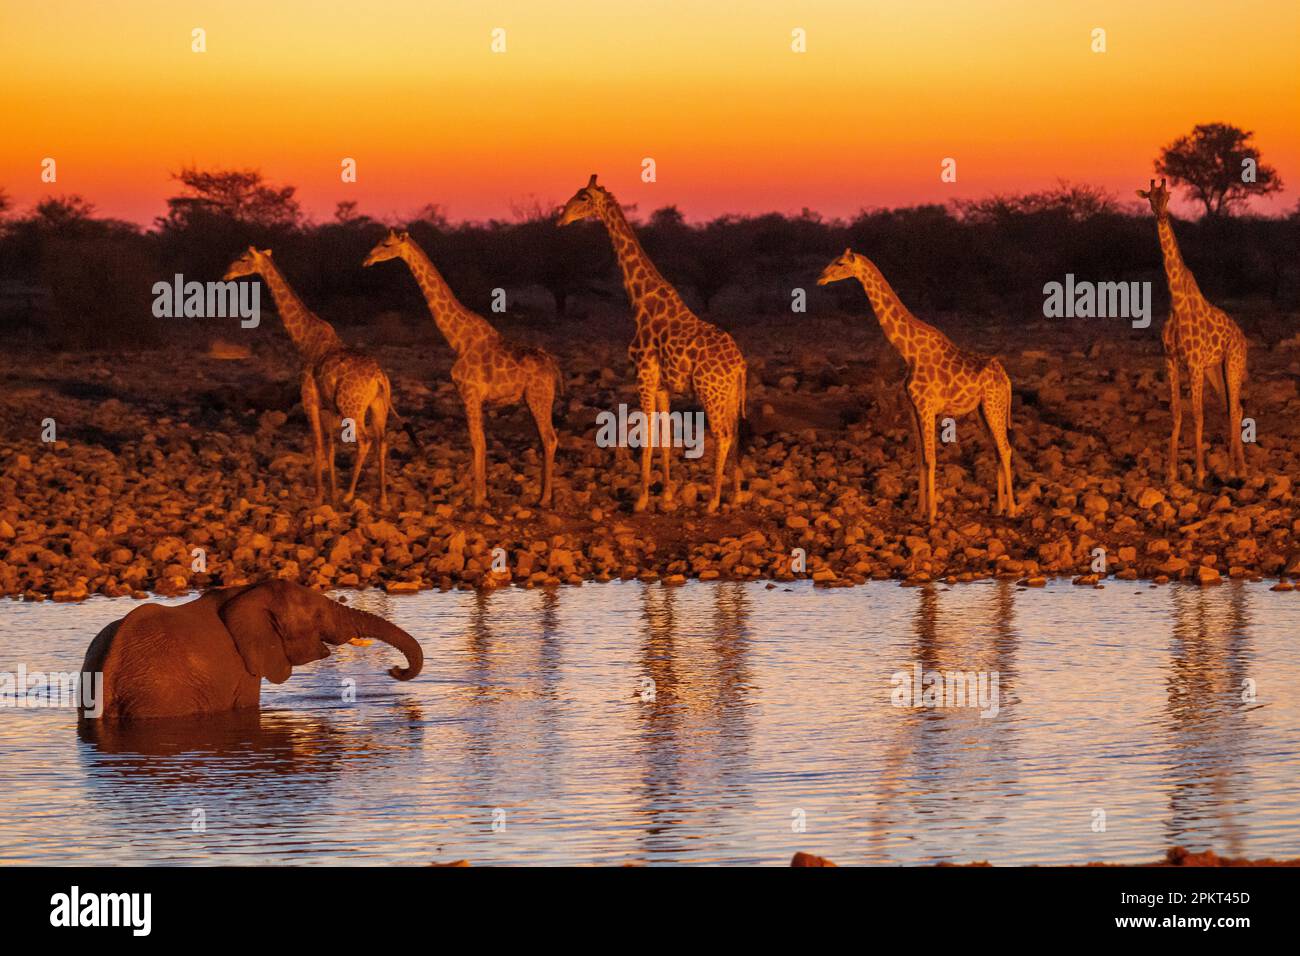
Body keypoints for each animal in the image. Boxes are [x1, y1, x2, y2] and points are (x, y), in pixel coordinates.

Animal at [223, 247, 412, 510]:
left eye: (243, 259)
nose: (226, 274)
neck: (303, 340)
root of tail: (379, 378)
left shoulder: (309, 400)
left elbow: (317, 445)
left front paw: (319, 496)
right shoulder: (328, 407)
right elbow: (331, 447)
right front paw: (330, 493)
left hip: (351, 407)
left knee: (365, 441)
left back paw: (349, 495)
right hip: (378, 406)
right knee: (382, 441)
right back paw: (382, 499)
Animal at [363, 229, 563, 508]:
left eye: (386, 244)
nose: (366, 260)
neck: (458, 339)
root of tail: (553, 366)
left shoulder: (469, 392)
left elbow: (476, 442)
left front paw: (477, 498)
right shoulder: (475, 397)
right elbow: (480, 441)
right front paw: (482, 494)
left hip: (539, 397)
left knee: (550, 438)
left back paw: (544, 499)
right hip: (534, 399)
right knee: (545, 439)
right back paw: (541, 495)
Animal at [558, 175, 747, 514]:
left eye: (582, 197)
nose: (561, 218)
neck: (640, 300)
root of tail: (740, 365)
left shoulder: (643, 376)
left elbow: (646, 433)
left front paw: (641, 498)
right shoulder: (662, 385)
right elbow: (664, 434)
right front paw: (668, 495)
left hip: (710, 393)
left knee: (724, 435)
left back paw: (713, 501)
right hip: (728, 395)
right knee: (736, 433)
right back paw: (736, 495)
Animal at [817, 249, 1016, 523]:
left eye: (840, 263)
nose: (820, 278)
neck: (909, 351)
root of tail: (1006, 379)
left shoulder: (926, 406)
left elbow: (931, 458)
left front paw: (932, 515)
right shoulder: (912, 407)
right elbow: (920, 457)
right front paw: (919, 511)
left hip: (994, 406)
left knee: (1006, 449)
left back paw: (1013, 510)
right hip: (983, 410)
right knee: (997, 450)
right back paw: (998, 508)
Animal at [1137, 178, 1248, 487]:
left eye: (1167, 197)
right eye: (1149, 198)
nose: (1161, 215)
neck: (1176, 303)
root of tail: (1242, 337)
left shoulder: (1194, 364)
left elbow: (1197, 414)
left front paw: (1198, 473)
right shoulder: (1172, 360)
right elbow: (1176, 413)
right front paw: (1172, 473)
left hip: (1233, 363)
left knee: (1236, 407)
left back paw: (1236, 470)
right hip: (1215, 369)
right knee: (1231, 407)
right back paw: (1236, 467)